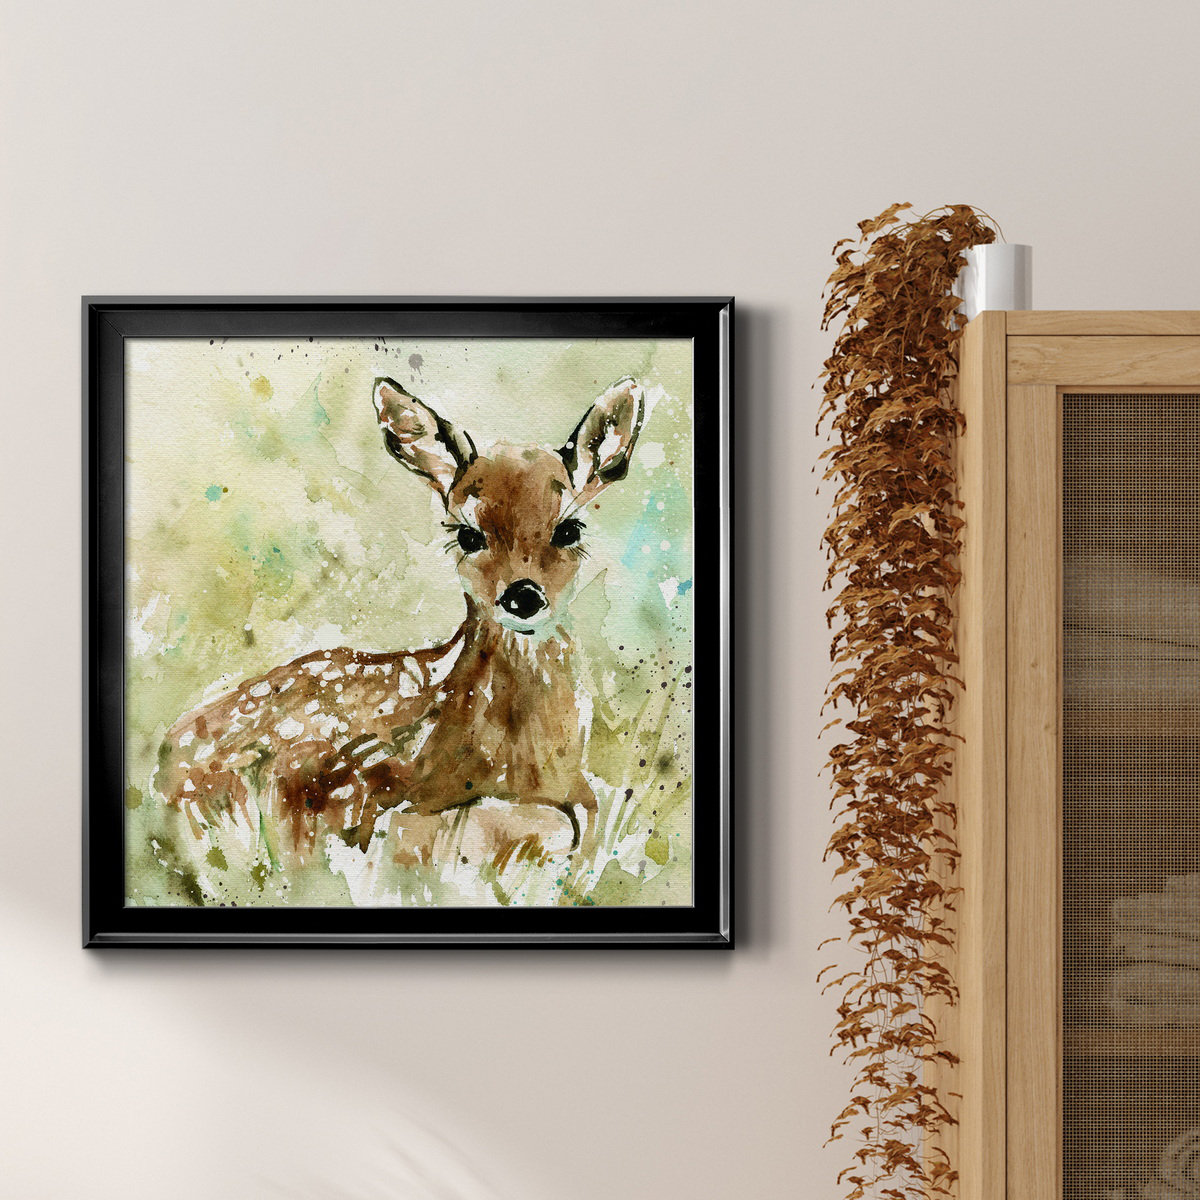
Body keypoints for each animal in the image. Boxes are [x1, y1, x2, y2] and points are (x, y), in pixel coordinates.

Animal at [153, 374, 645, 874]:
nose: (522, 595)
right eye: (468, 534)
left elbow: (581, 822)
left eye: (569, 528)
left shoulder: (579, 794)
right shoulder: (377, 797)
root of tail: (162, 758)